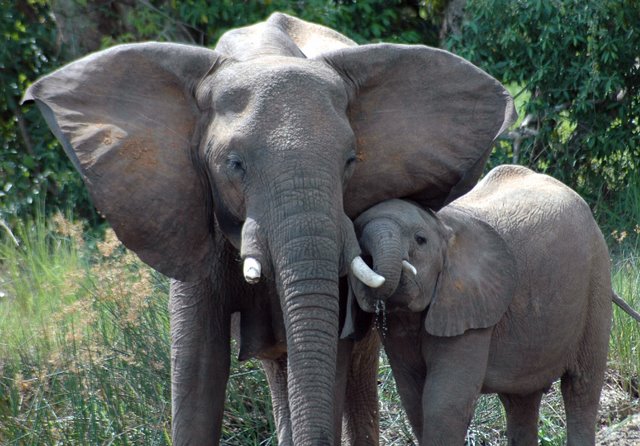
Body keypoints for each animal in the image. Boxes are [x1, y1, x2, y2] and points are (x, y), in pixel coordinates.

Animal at [344, 165, 614, 445]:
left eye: (420, 240)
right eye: (358, 237)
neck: (443, 225)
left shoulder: (471, 308)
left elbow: (445, 401)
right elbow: (413, 396)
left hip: (597, 282)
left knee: (581, 386)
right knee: (521, 399)